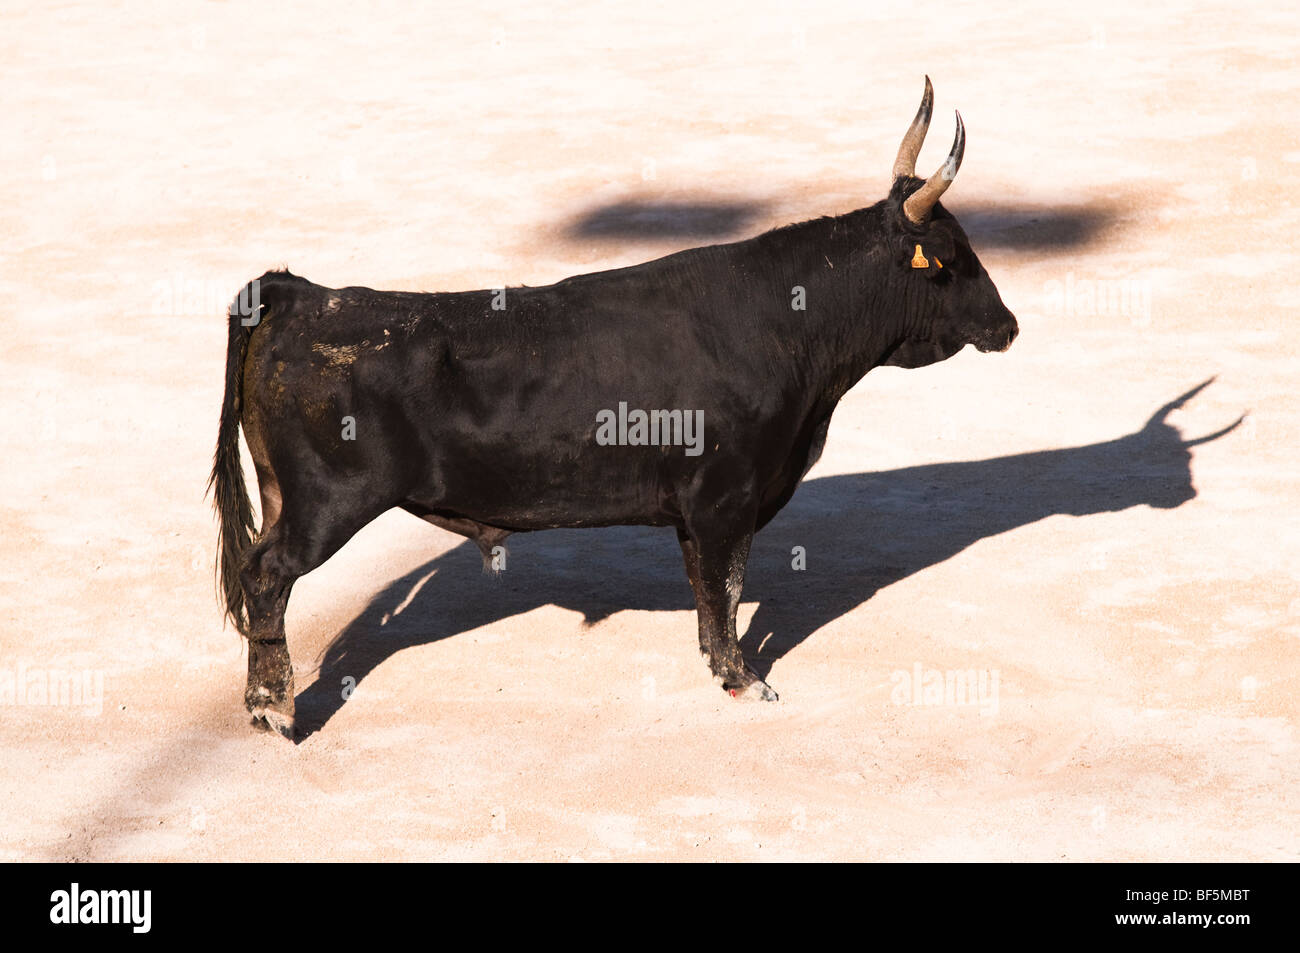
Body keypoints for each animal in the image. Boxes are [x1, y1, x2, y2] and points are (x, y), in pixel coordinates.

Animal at [210, 78, 1019, 737]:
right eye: (951, 260)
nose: (1007, 325)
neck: (792, 324)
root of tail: (303, 293)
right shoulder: (726, 497)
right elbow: (728, 586)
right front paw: (745, 679)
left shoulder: (698, 508)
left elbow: (708, 591)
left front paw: (717, 666)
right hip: (328, 502)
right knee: (267, 575)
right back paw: (274, 709)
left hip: (284, 492)